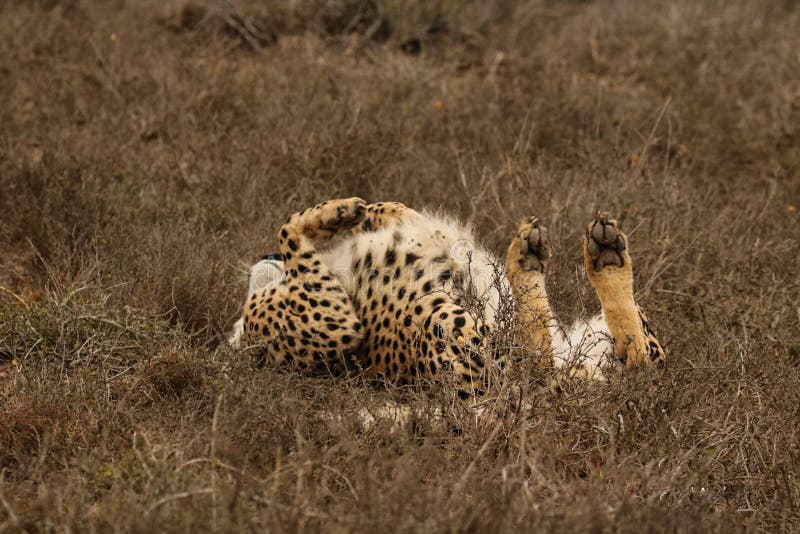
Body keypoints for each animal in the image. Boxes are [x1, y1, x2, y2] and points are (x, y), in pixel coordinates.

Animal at [229, 197, 665, 404]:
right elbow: (287, 228)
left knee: (637, 354)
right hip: (445, 322)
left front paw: (354, 211)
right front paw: (334, 213)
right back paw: (532, 260)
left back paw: (601, 255)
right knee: (538, 362)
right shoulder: (332, 324)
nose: (264, 258)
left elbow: (396, 213)